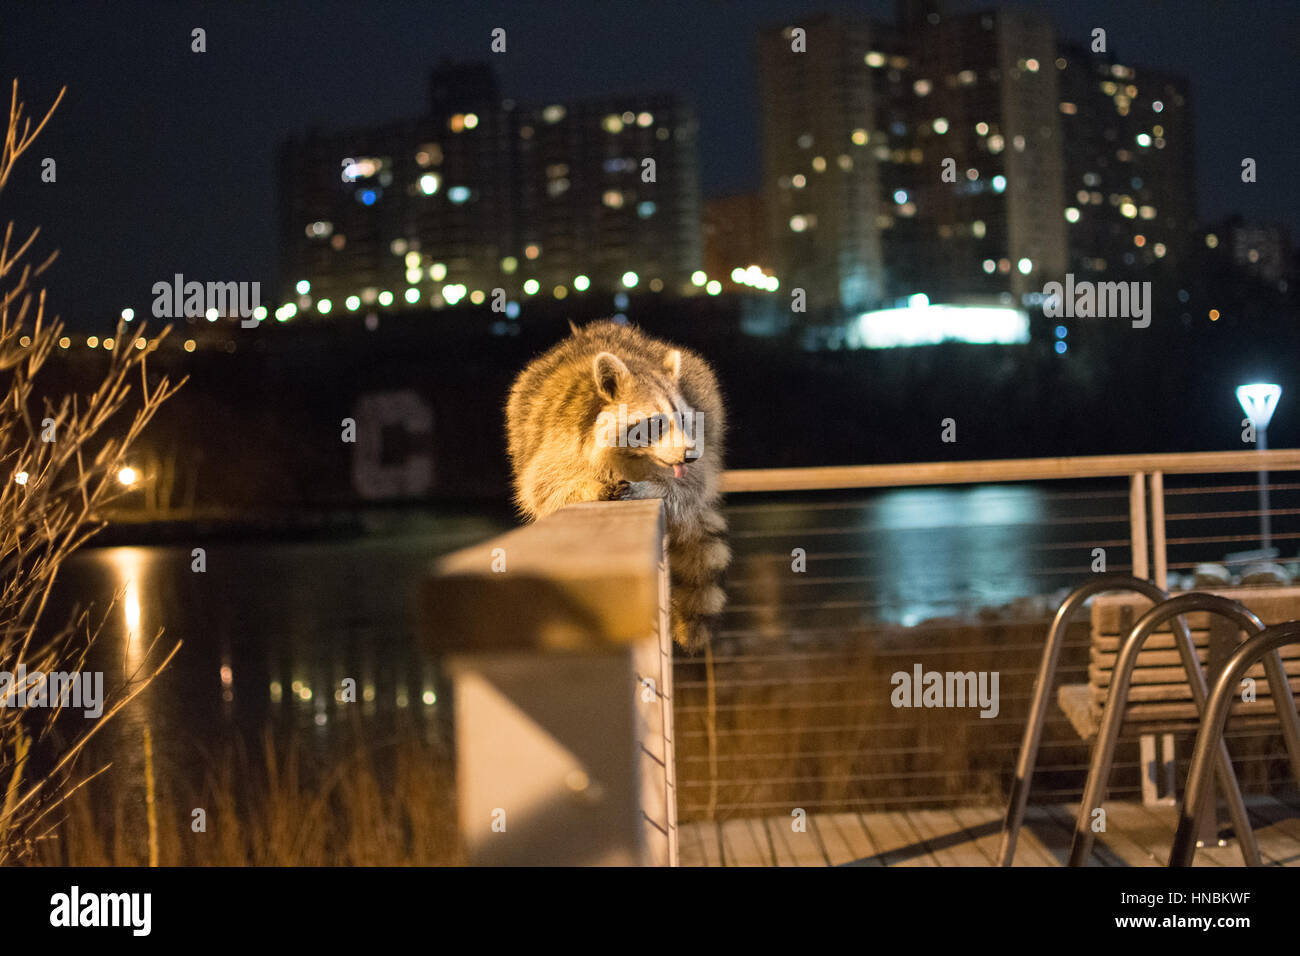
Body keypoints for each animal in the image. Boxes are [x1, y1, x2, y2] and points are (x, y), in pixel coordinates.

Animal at [506, 320, 729, 651]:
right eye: (657, 422)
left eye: (684, 419)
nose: (690, 455)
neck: (631, 455)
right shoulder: (558, 436)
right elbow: (544, 488)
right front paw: (589, 487)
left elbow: (688, 489)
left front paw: (649, 487)